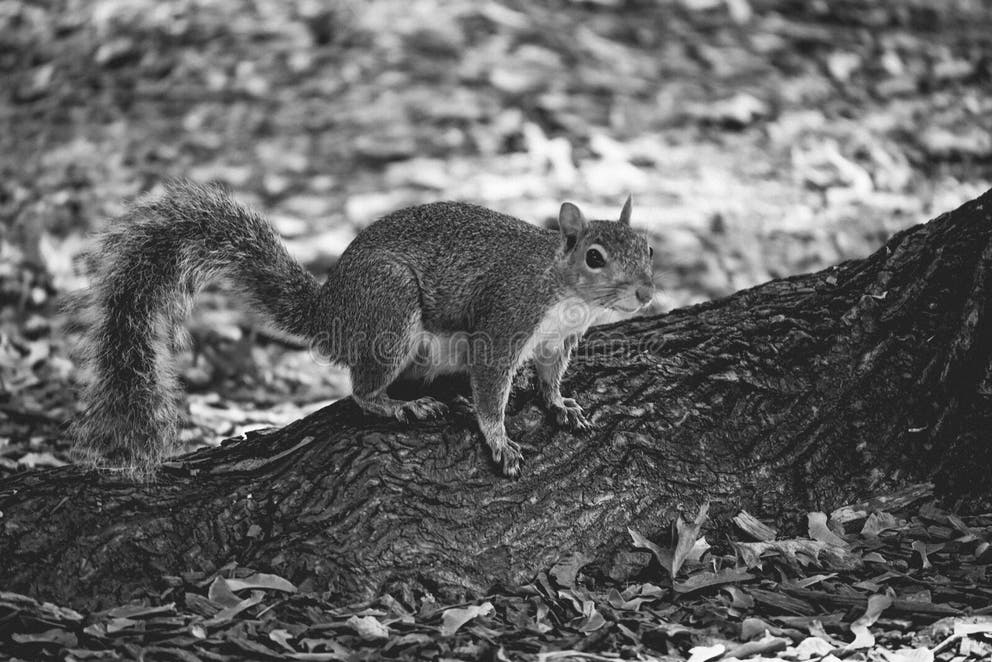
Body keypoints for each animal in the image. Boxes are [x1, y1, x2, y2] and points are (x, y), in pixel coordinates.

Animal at [68, 181, 655, 479]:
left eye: (648, 247)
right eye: (595, 257)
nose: (646, 294)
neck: (565, 292)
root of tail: (330, 315)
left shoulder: (557, 341)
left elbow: (551, 376)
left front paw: (561, 404)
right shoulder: (505, 321)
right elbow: (492, 391)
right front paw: (500, 441)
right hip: (389, 311)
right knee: (361, 389)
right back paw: (402, 406)